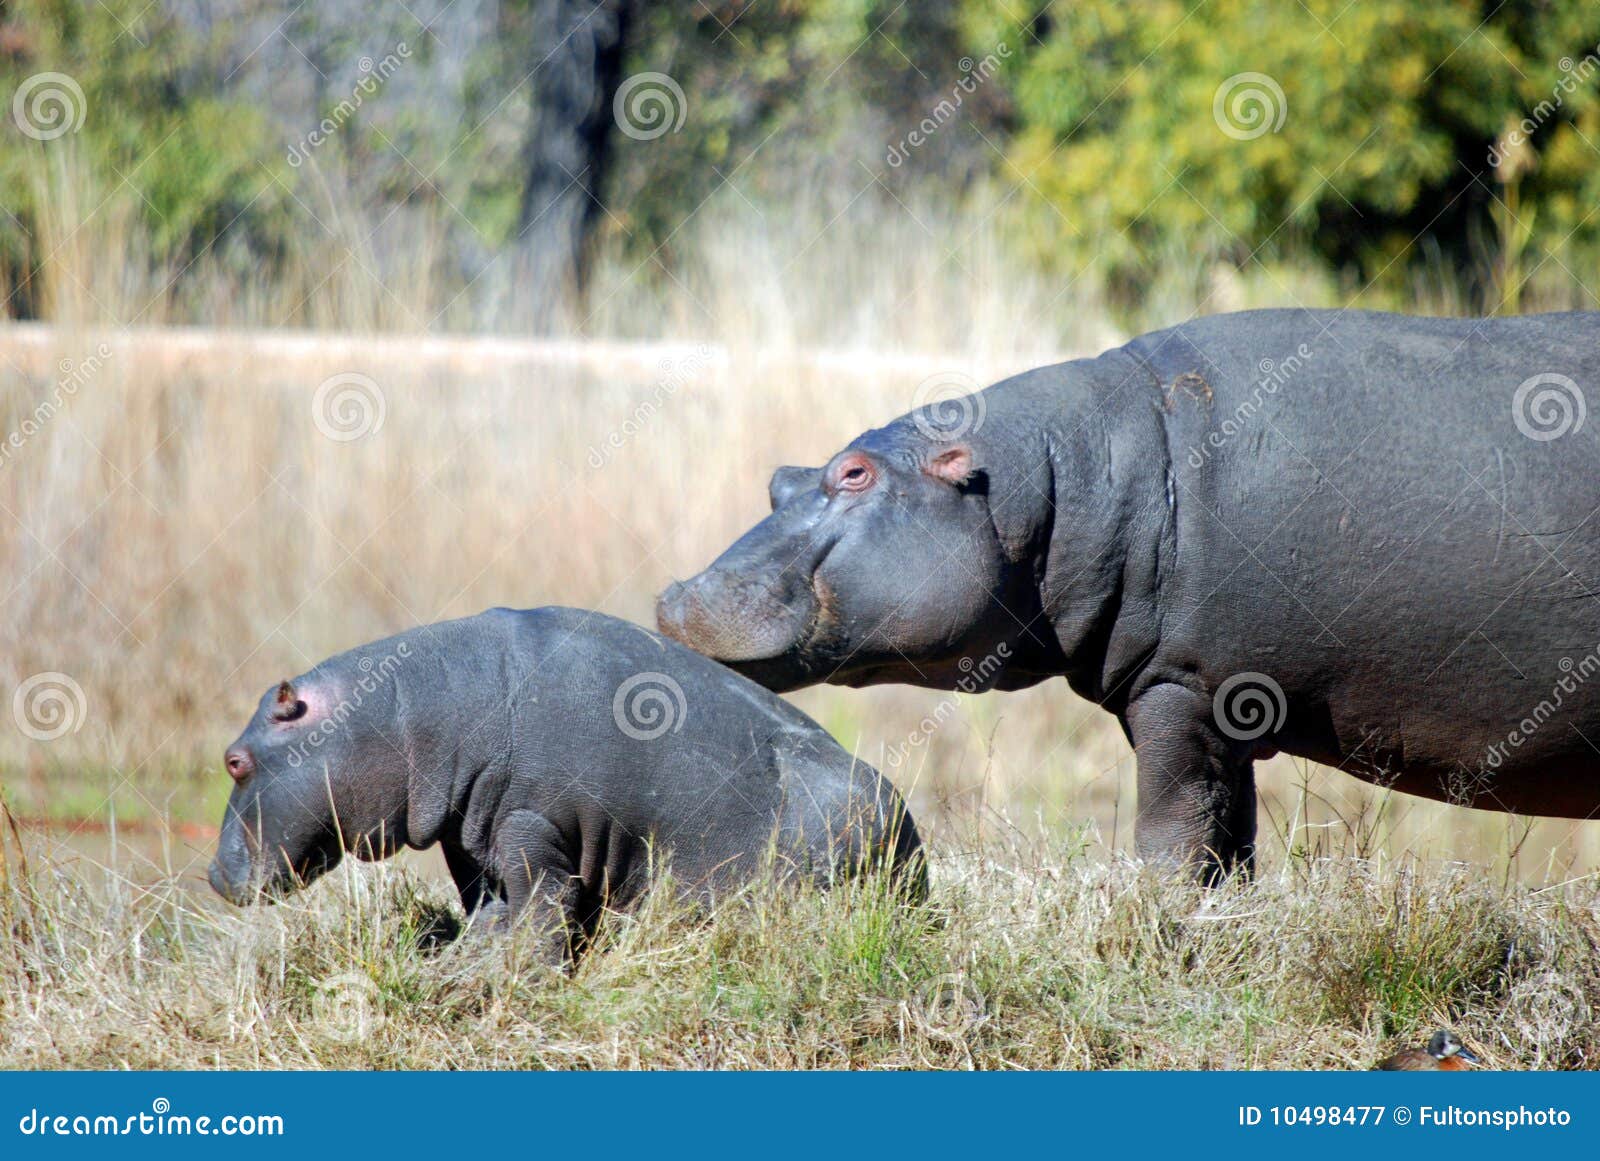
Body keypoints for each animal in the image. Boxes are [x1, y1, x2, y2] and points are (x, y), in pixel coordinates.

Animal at [209, 607, 924, 962]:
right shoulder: (467, 834)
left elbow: (542, 910)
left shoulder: (535, 827)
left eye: (234, 761)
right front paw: (463, 956)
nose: (214, 876)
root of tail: (914, 838)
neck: (401, 709)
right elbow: (486, 902)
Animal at [657, 308, 1600, 878]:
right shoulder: (1207, 701)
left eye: (853, 472)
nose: (676, 595)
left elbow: (1172, 833)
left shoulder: (1188, 685)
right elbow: (1228, 839)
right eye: (780, 480)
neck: (1055, 479)